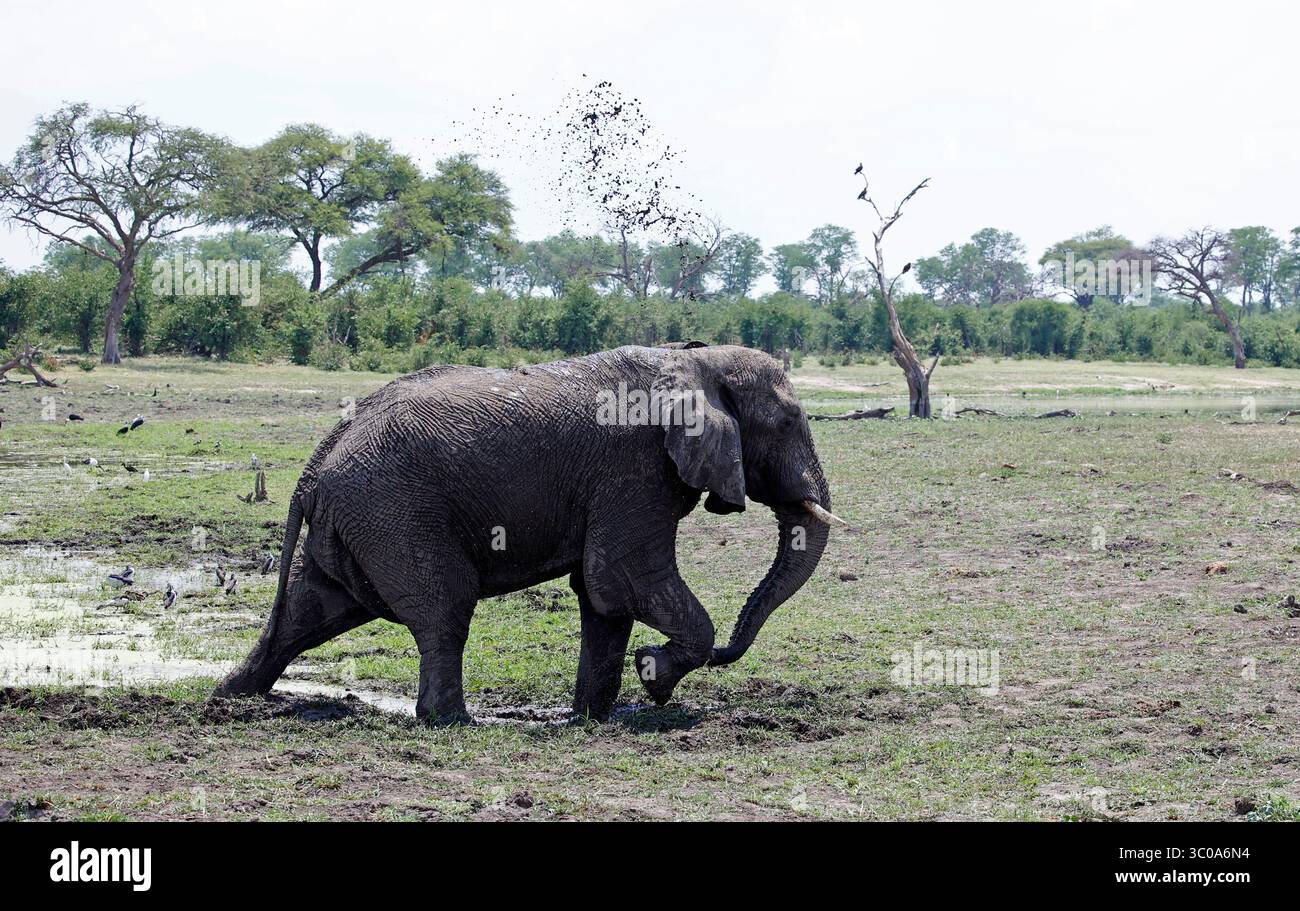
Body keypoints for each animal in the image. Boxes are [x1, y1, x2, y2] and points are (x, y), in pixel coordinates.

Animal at [213, 343, 841, 723]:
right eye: (788, 422)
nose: (722, 656)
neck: (696, 360)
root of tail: (315, 463)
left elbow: (602, 597)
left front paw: (593, 716)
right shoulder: (634, 473)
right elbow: (619, 578)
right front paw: (654, 676)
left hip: (359, 519)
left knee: (307, 611)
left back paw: (232, 696)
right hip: (393, 510)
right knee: (444, 607)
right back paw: (453, 722)